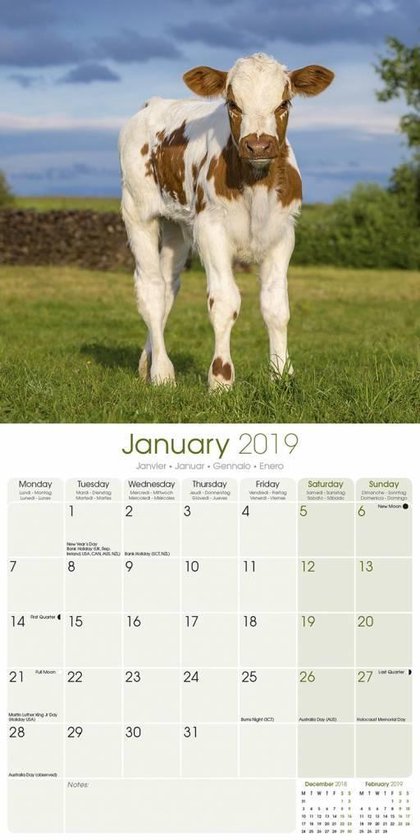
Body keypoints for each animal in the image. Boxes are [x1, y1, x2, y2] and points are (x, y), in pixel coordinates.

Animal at [119, 53, 334, 388]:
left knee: (168, 287)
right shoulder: (211, 231)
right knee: (151, 290)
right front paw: (220, 380)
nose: (258, 145)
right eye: (232, 103)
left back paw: (147, 362)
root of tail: (153, 103)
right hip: (138, 210)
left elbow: (276, 307)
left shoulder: (282, 234)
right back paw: (162, 373)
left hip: (176, 226)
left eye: (284, 103)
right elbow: (224, 303)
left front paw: (281, 375)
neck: (255, 186)